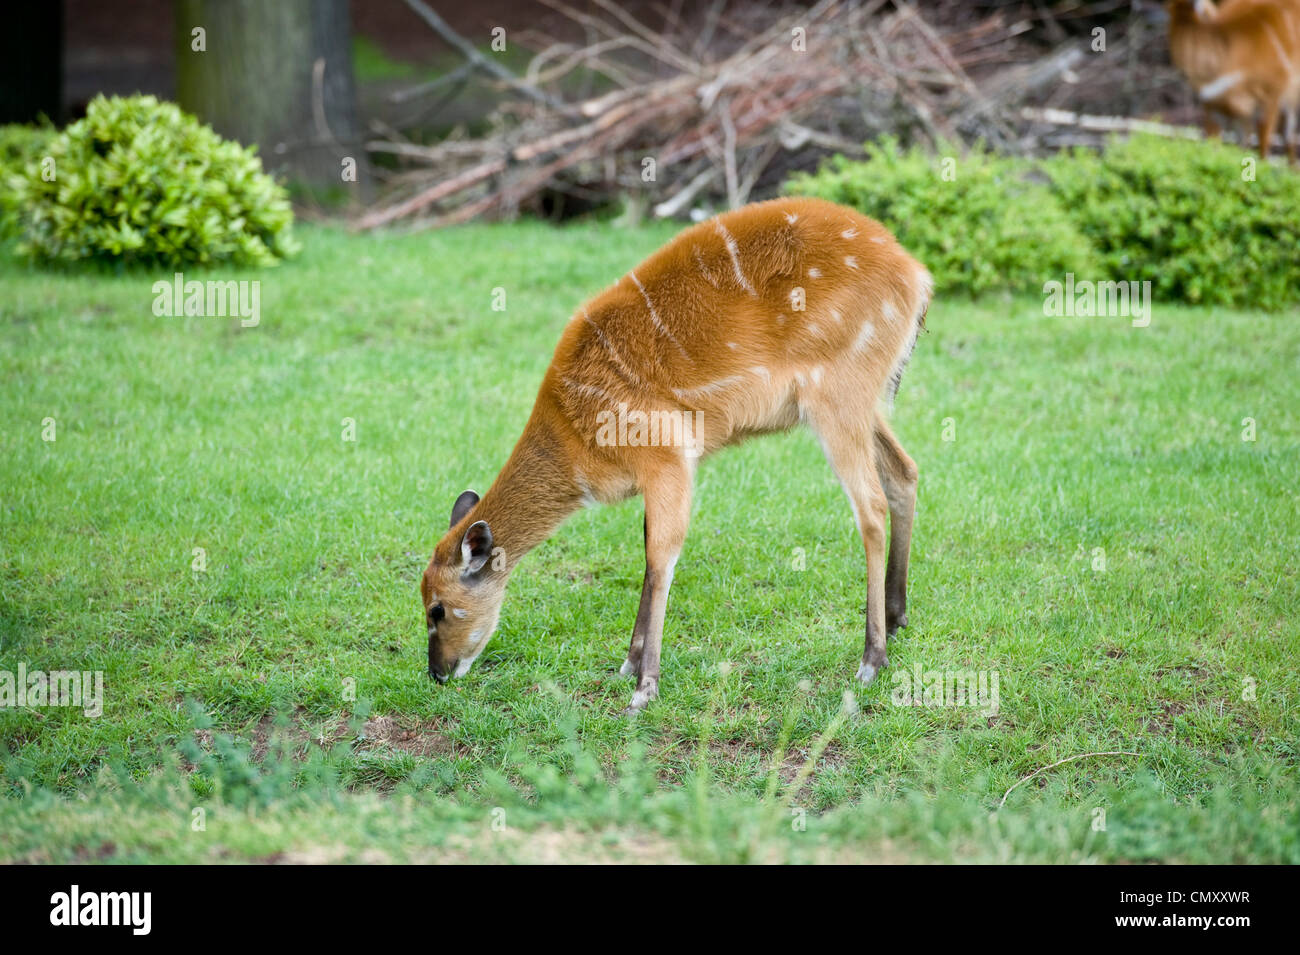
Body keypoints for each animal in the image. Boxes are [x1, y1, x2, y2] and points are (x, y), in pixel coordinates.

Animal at [420, 196, 932, 713]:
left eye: (436, 609)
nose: (437, 673)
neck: (576, 435)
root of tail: (917, 276)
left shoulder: (667, 454)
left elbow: (661, 557)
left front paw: (643, 688)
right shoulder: (657, 472)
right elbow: (649, 548)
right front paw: (628, 664)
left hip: (837, 395)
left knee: (870, 506)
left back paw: (871, 660)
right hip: (861, 402)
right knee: (904, 472)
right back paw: (897, 618)